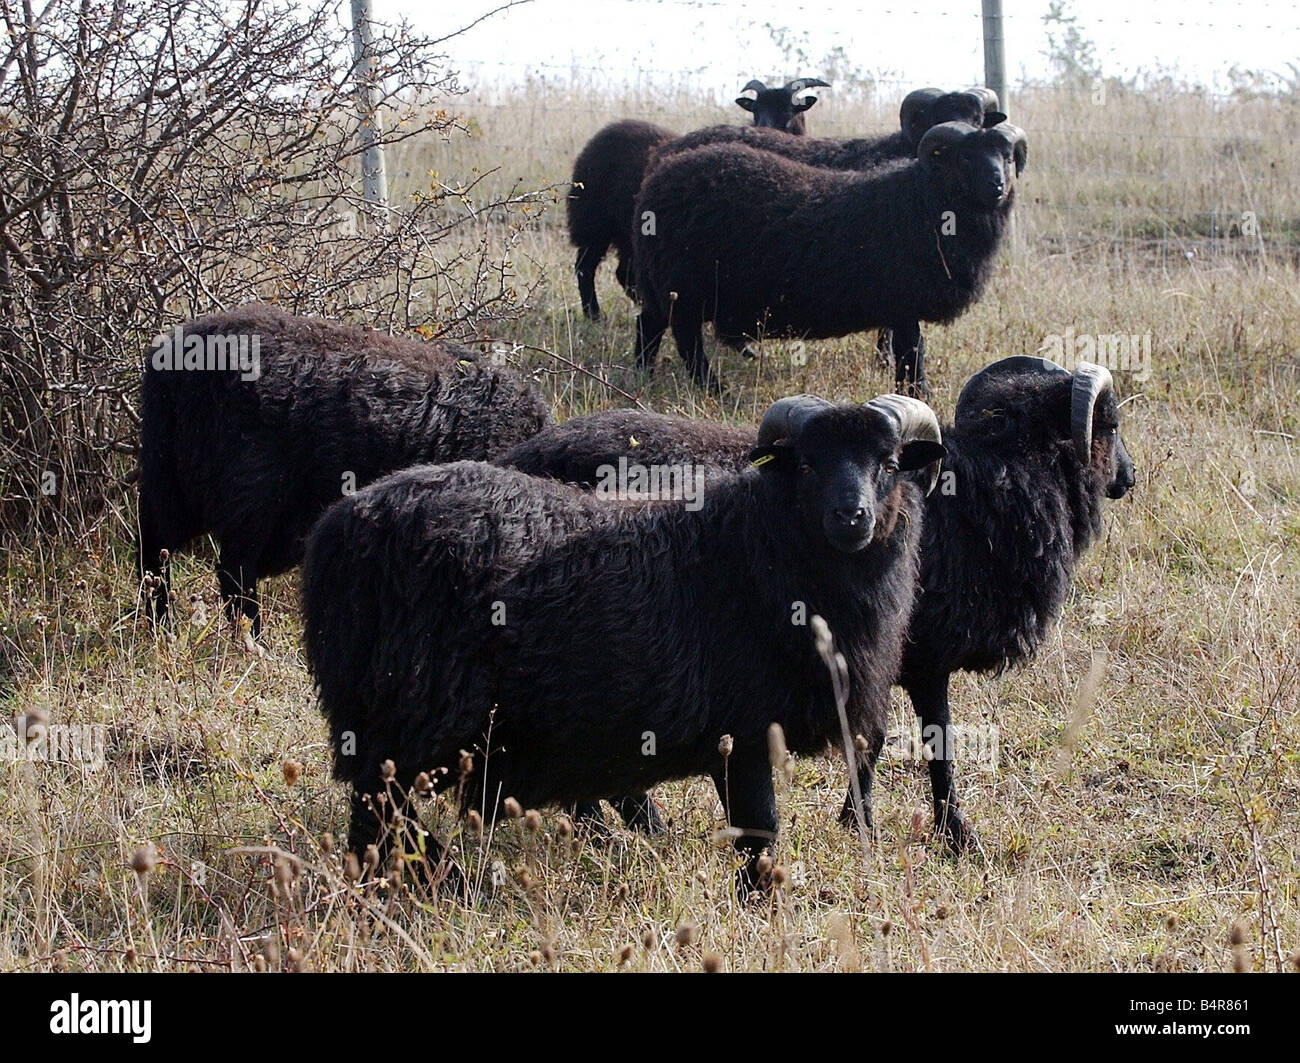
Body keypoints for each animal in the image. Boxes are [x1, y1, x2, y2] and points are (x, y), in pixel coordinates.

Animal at [136, 303, 550, 639]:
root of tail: (167, 363)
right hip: (246, 494)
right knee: (232, 572)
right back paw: (252, 643)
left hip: (171, 481)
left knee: (155, 551)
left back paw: (161, 629)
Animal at [302, 394, 945, 891]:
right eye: (808, 465)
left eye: (889, 463)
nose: (851, 516)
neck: (759, 547)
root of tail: (338, 529)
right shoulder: (747, 732)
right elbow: (761, 832)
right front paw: (761, 904)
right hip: (403, 716)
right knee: (377, 813)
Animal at [498, 357, 1135, 849]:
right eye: (1110, 422)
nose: (1129, 477)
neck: (995, 485)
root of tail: (519, 457)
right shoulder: (918, 656)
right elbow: (927, 742)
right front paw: (945, 834)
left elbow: (884, 737)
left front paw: (870, 824)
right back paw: (625, 826)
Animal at [568, 77, 828, 320]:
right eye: (755, 110)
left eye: (790, 110)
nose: (764, 128)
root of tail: (605, 131)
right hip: (593, 221)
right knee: (585, 267)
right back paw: (594, 315)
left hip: (628, 234)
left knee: (624, 273)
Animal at [632, 120, 1028, 396]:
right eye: (965, 157)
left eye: (1007, 157)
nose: (996, 184)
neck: (925, 201)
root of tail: (655, 180)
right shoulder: (903, 304)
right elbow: (913, 353)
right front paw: (920, 394)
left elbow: (907, 354)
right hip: (684, 287)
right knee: (685, 341)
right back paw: (714, 389)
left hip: (668, 287)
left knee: (649, 325)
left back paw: (643, 375)